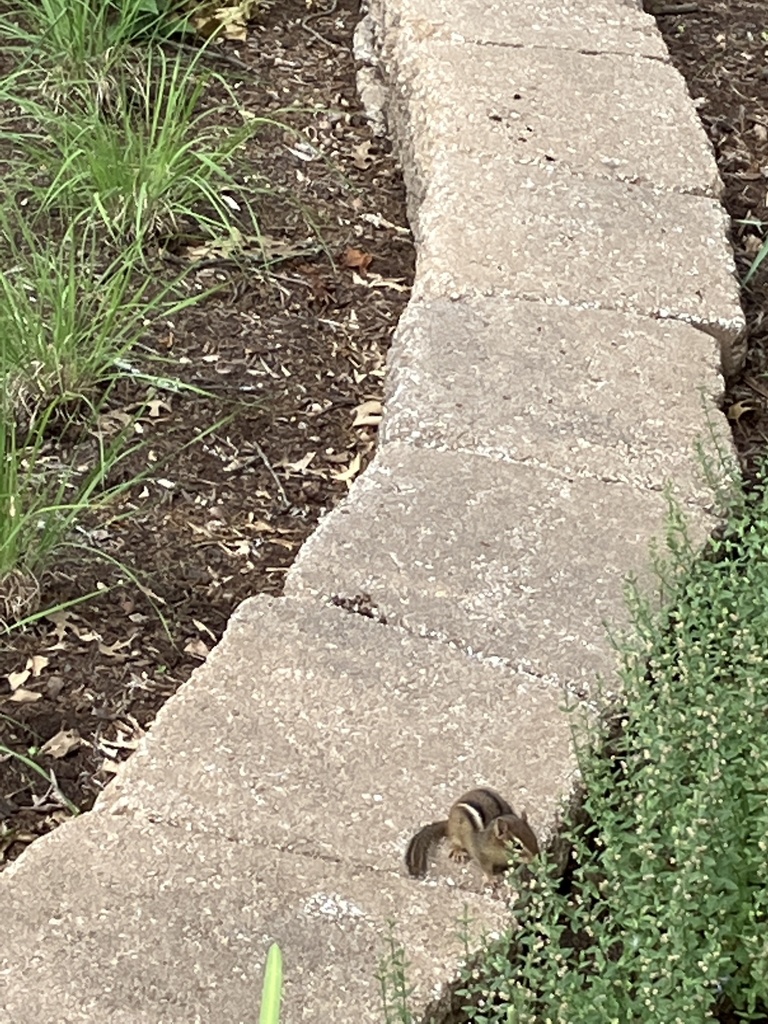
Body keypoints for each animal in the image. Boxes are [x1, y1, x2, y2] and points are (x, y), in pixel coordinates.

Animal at [405, 787, 539, 881]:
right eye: (518, 846)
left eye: (534, 837)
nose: (536, 858)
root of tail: (448, 822)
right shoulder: (481, 855)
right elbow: (486, 868)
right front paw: (491, 880)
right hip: (456, 832)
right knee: (454, 842)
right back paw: (458, 851)